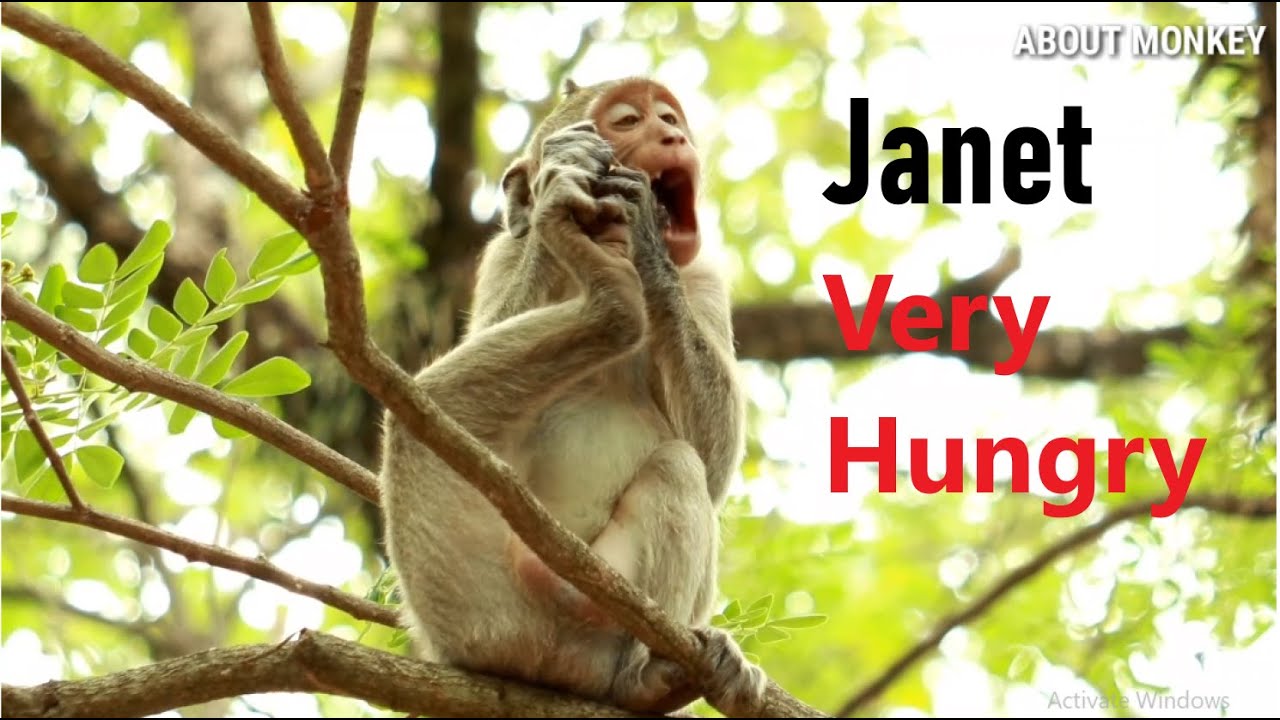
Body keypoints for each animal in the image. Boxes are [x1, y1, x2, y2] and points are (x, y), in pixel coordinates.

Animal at [378, 76, 767, 715]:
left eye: (668, 118)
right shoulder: (503, 255)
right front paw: (562, 191)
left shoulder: (705, 277)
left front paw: (647, 237)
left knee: (680, 468)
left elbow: (713, 460)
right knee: (424, 414)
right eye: (629, 120)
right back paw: (609, 299)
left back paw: (649, 677)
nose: (673, 136)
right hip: (474, 601)